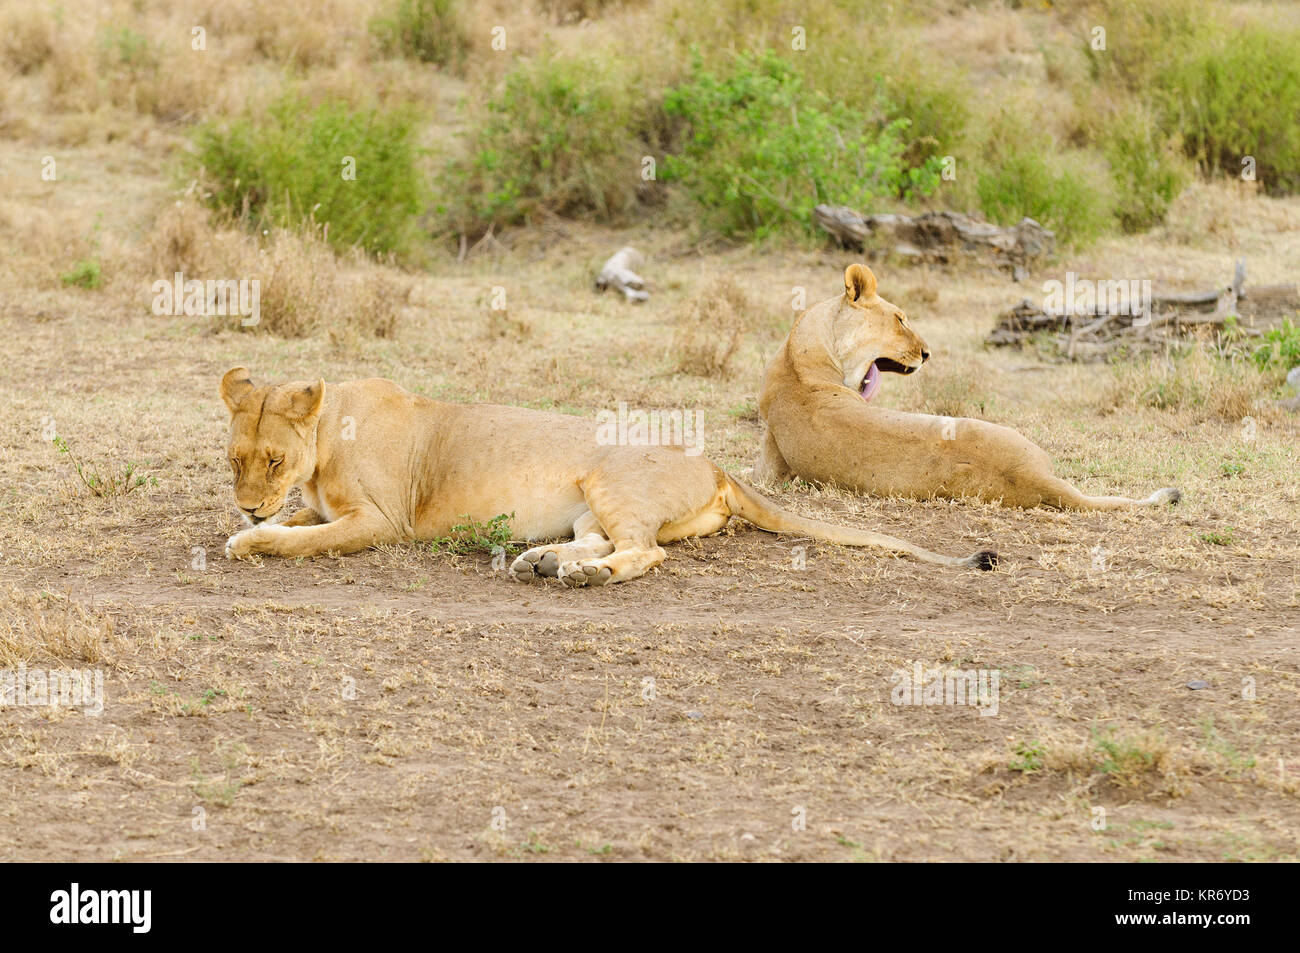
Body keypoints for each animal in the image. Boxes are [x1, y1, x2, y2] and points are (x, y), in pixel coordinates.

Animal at [218, 365, 997, 584]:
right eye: (235, 460)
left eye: (275, 458)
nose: (249, 506)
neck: (325, 439)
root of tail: (712, 461)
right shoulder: (321, 505)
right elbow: (300, 519)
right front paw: (254, 525)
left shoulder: (379, 521)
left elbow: (298, 538)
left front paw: (251, 540)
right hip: (594, 503)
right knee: (605, 541)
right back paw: (542, 560)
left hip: (610, 481)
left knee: (642, 552)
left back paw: (578, 574)